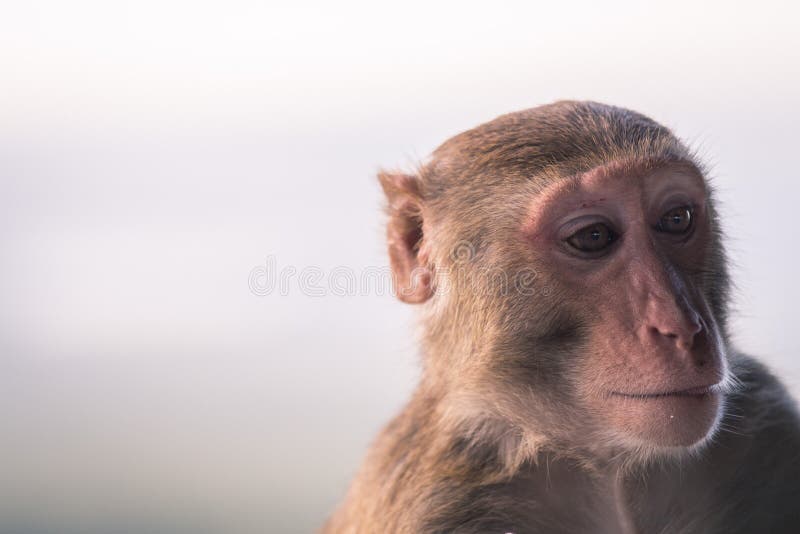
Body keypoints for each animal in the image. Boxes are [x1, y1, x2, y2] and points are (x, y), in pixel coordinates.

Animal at [323, 101, 800, 533]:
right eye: (593, 236)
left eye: (676, 218)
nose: (683, 326)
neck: (608, 470)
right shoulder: (440, 502)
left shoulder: (767, 420)